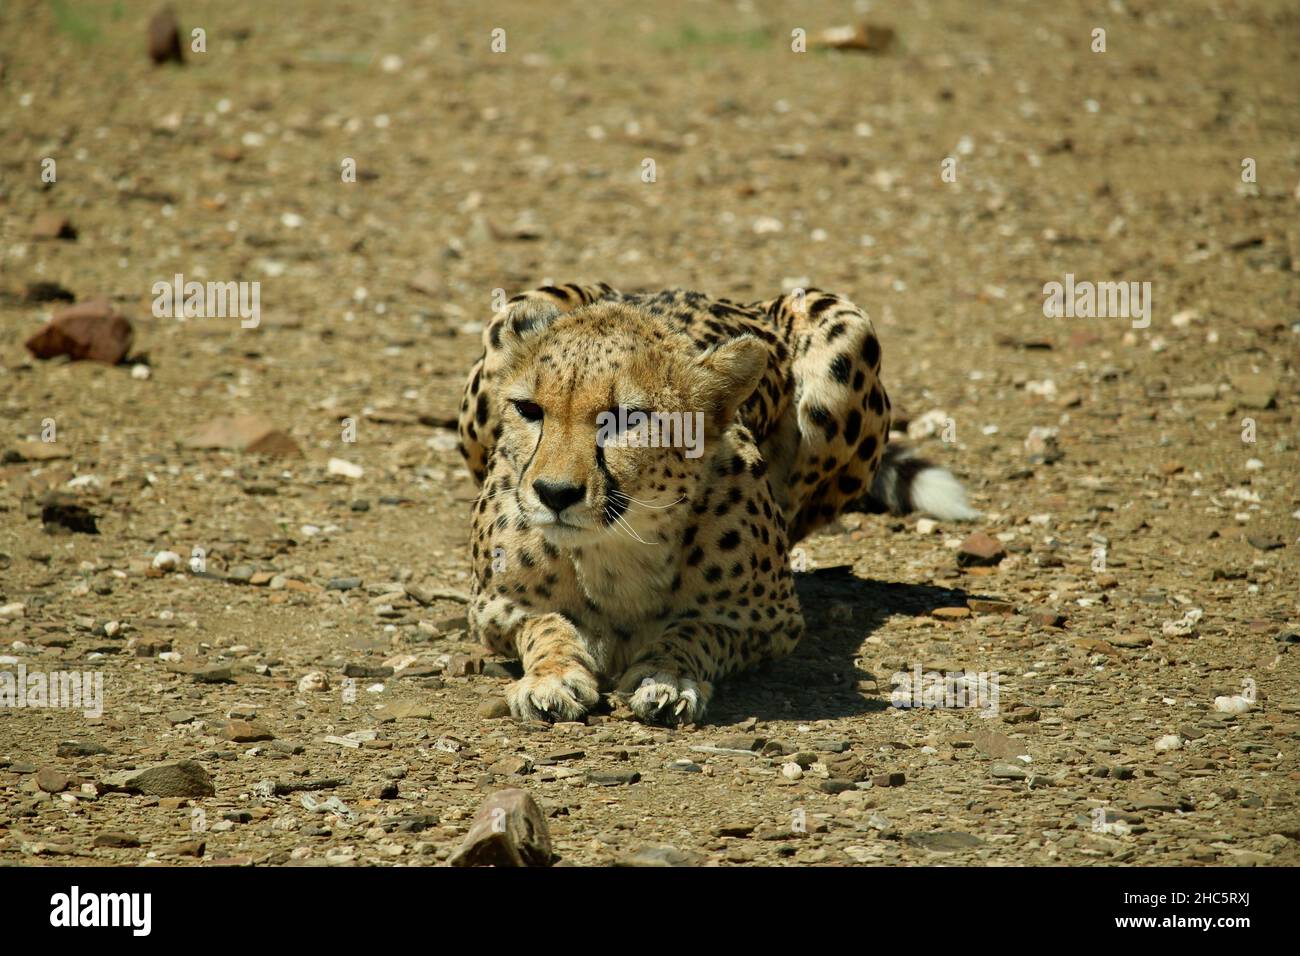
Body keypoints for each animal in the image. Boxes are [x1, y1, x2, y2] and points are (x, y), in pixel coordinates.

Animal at [457, 282, 977, 726]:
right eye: (529, 409)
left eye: (625, 420)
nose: (554, 493)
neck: (621, 540)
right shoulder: (494, 609)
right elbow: (545, 624)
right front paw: (553, 676)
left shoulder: (774, 622)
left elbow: (697, 630)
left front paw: (667, 676)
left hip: (844, 344)